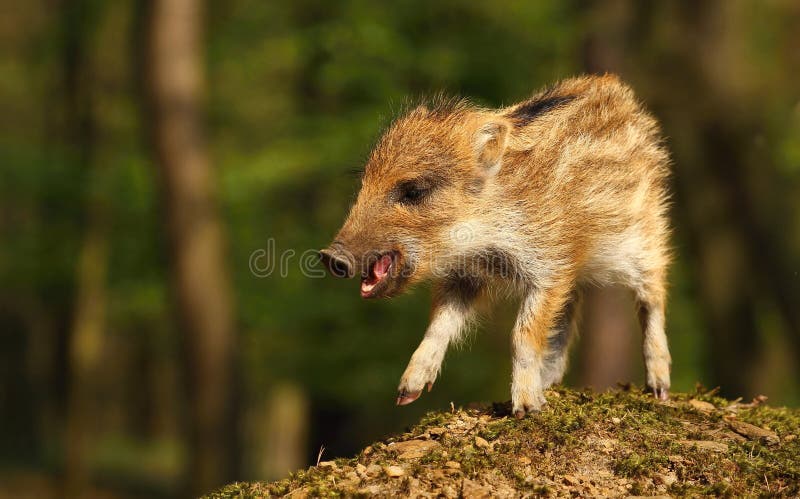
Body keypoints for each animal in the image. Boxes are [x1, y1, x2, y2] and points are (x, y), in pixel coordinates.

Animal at [319, 74, 671, 418]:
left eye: (414, 191)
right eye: (364, 184)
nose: (329, 257)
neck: (483, 234)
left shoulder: (548, 266)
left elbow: (522, 335)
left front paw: (526, 409)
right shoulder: (465, 276)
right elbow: (439, 324)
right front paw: (407, 393)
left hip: (644, 236)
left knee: (652, 295)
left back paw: (659, 389)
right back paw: (551, 385)